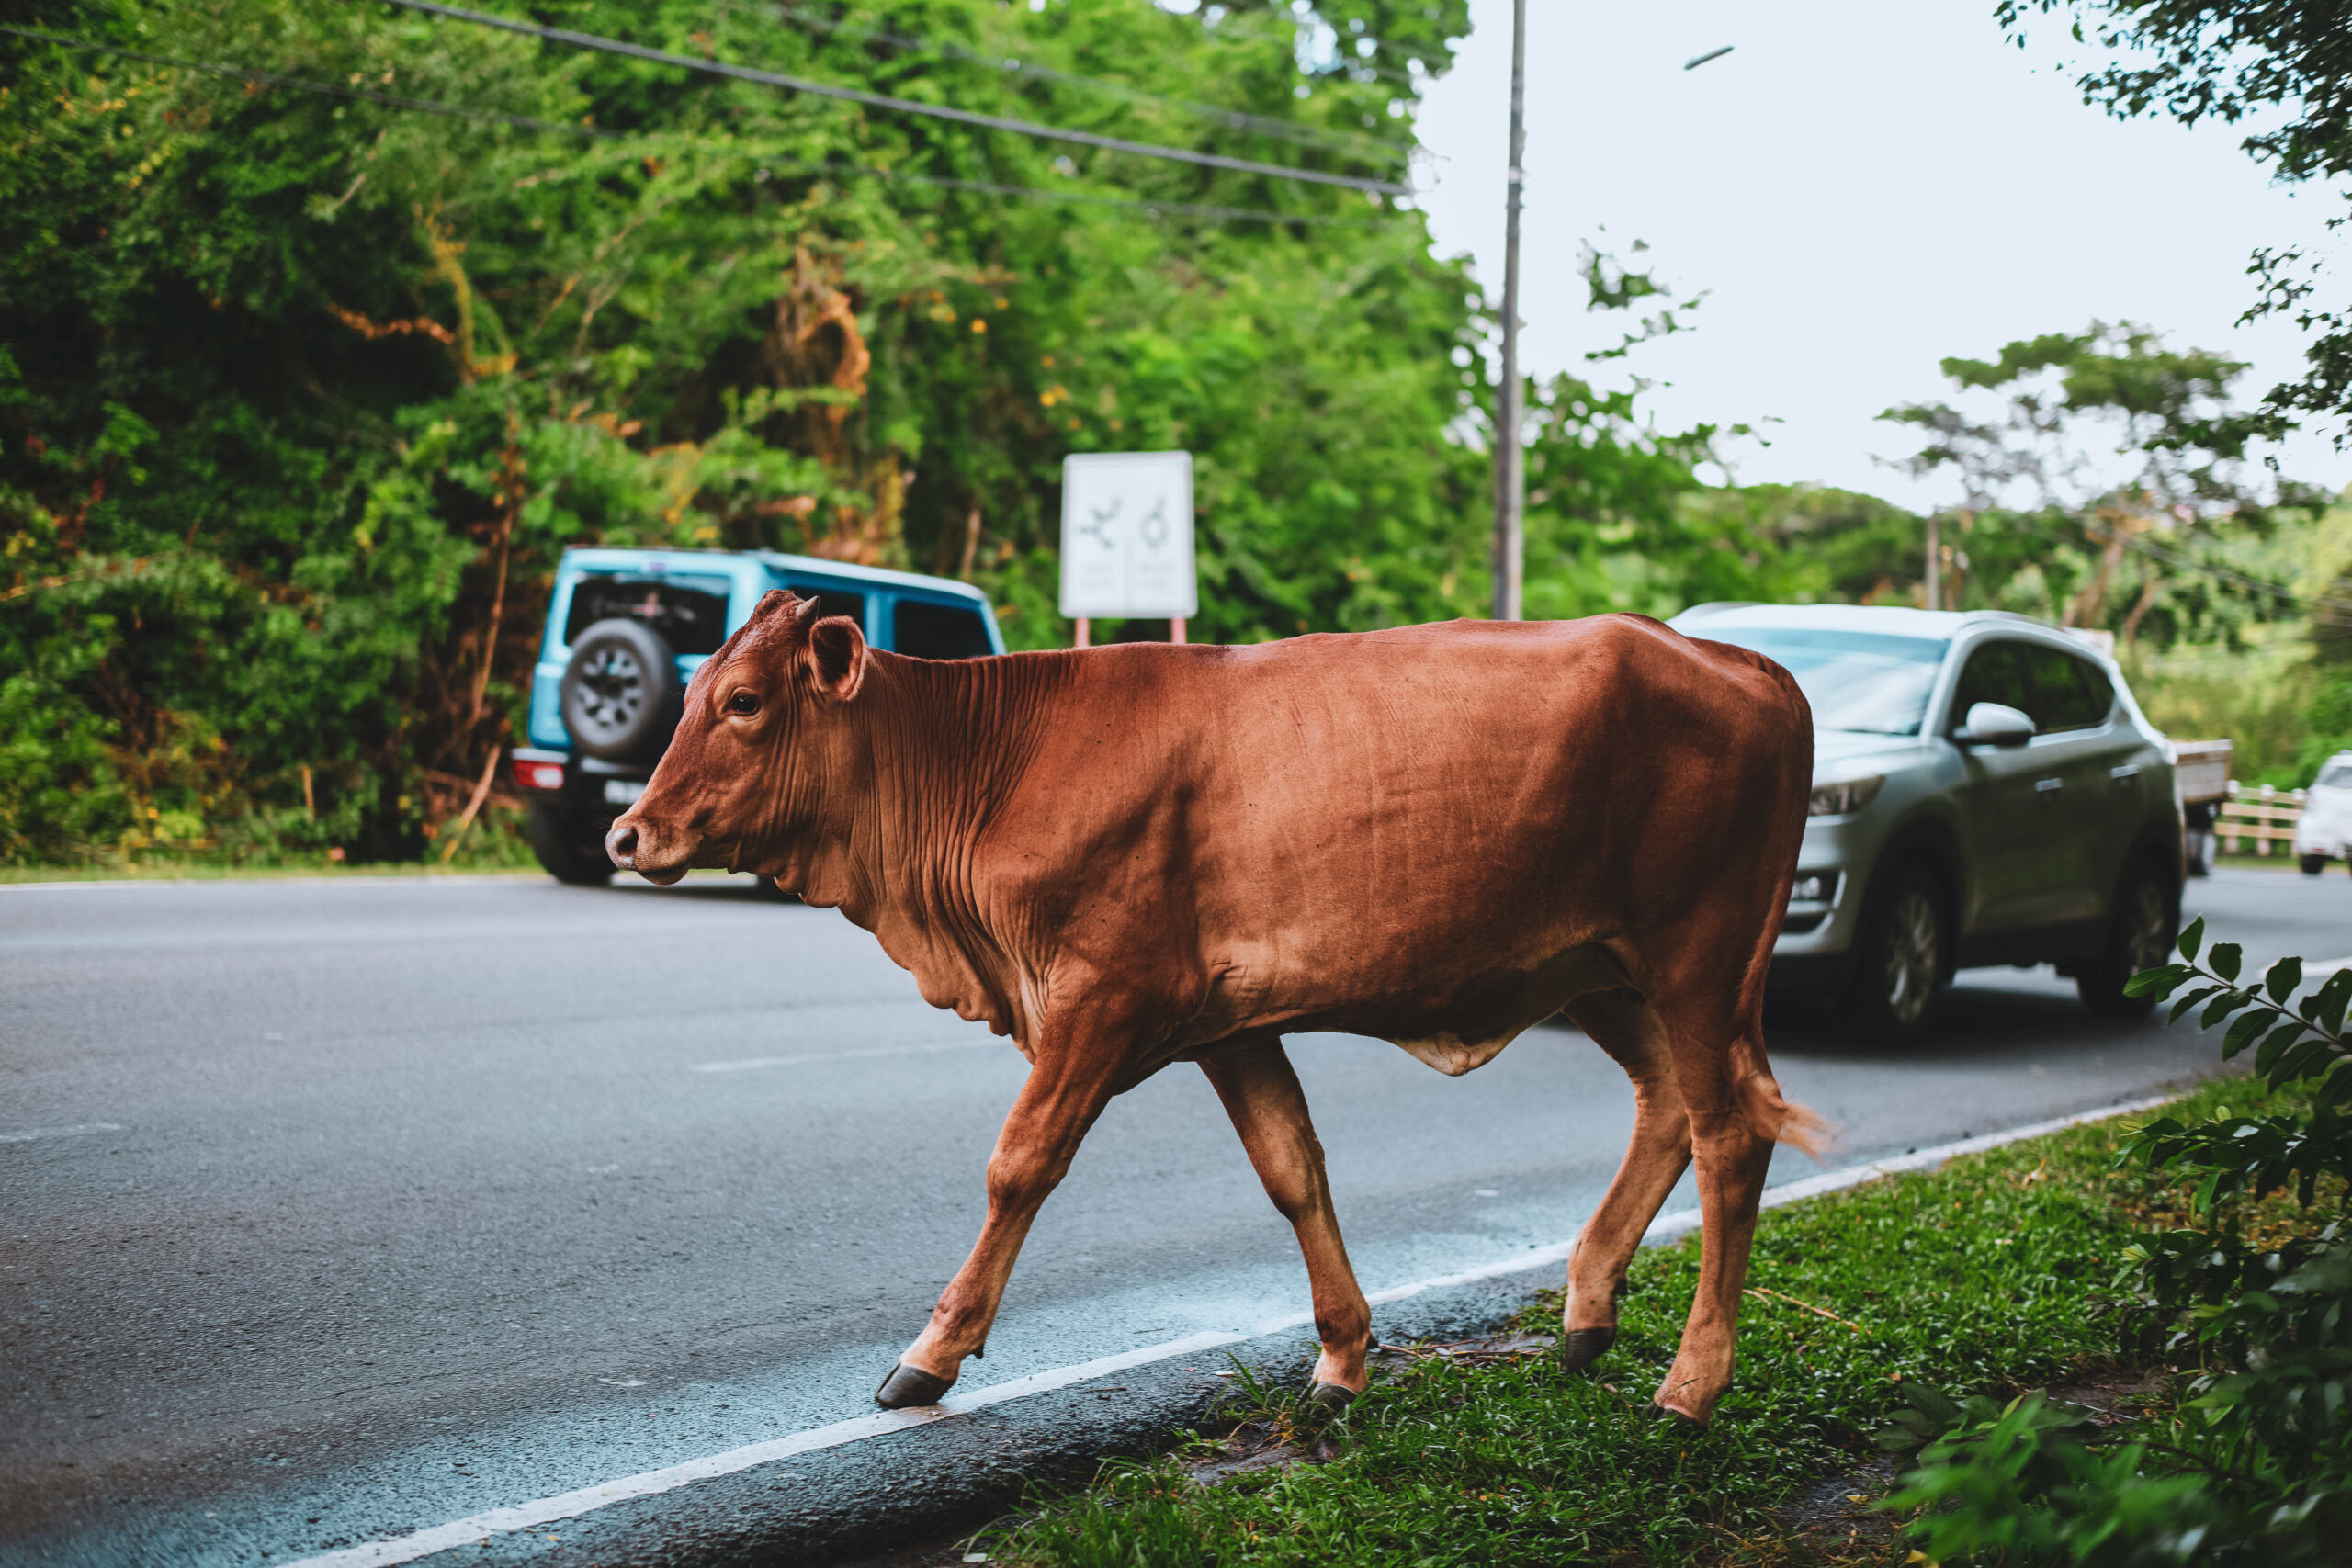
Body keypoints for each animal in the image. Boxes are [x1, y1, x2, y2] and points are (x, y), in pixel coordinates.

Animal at [606, 591, 1820, 1424]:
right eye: (686, 693)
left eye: (744, 702)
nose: (627, 833)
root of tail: (1739, 661)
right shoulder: (1230, 1028)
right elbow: (1292, 1172)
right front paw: (1339, 1361)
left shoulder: (1100, 995)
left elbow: (1018, 1165)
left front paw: (932, 1352)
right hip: (1605, 971)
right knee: (1667, 1109)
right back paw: (1586, 1311)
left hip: (1700, 961)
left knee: (1730, 1137)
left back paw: (1691, 1383)